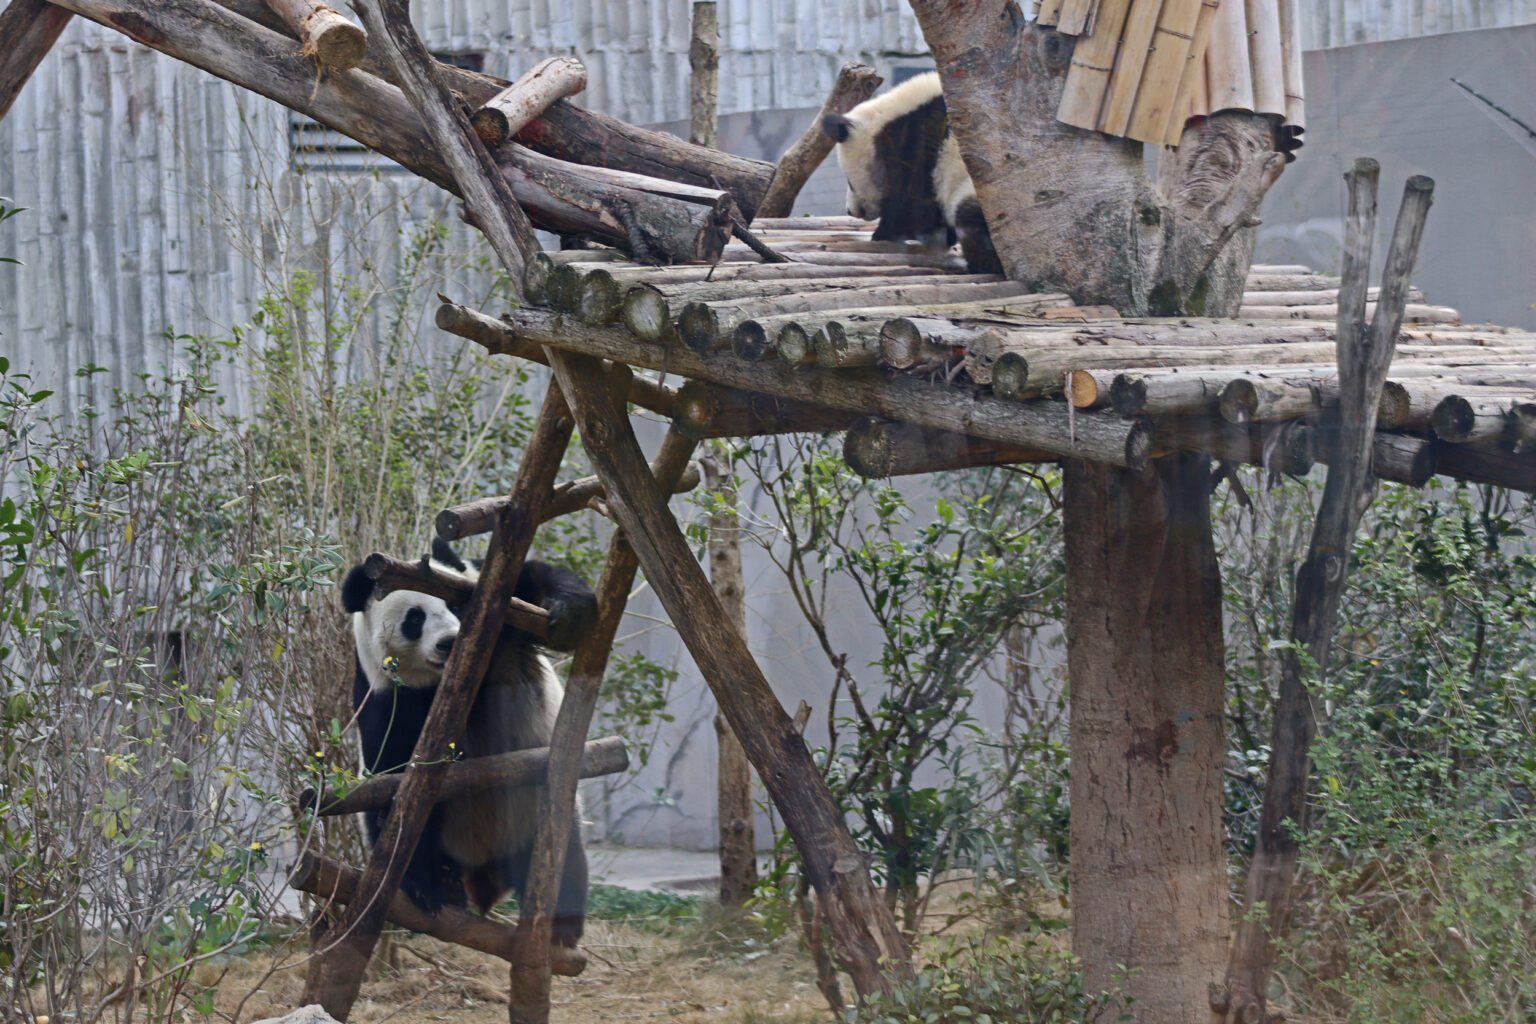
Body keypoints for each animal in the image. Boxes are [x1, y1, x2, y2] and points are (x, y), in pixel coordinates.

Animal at [340, 538, 596, 947]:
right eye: (415, 619)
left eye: (455, 605)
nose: (449, 642)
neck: (446, 681)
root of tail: (485, 875)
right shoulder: (384, 697)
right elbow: (397, 781)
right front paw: (422, 883)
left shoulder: (500, 609)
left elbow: (532, 581)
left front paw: (569, 612)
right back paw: (440, 885)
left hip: (539, 808)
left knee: (563, 852)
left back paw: (562, 924)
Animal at [822, 71, 1002, 276]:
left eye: (850, 182)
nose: (851, 211)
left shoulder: (919, 146)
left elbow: (914, 207)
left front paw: (882, 233)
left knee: (974, 220)